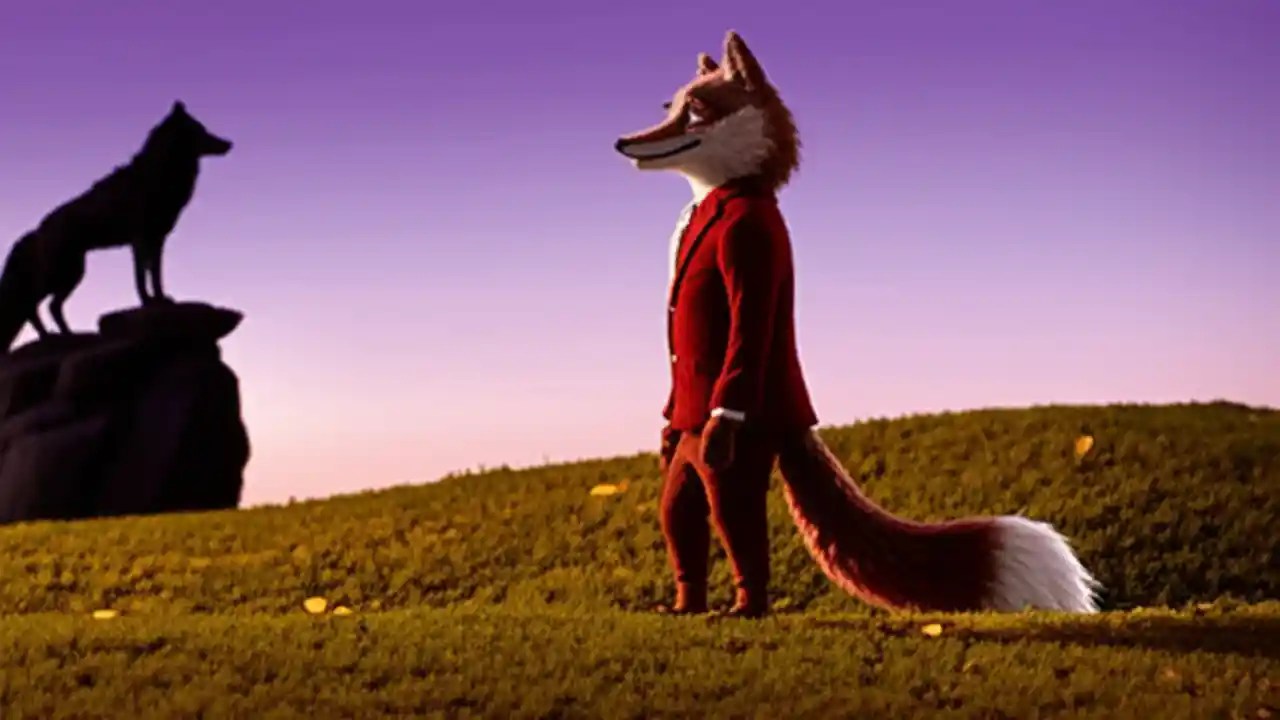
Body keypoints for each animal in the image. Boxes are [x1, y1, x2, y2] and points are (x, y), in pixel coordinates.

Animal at [0, 100, 233, 352]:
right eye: (201, 130)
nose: (229, 144)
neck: (156, 178)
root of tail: (36, 230)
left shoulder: (158, 240)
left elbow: (156, 275)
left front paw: (160, 299)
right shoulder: (139, 240)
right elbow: (140, 277)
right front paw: (147, 301)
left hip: (73, 273)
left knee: (53, 306)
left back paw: (69, 335)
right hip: (60, 274)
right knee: (31, 306)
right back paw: (49, 337)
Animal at [616, 31, 1099, 617]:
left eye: (696, 112)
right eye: (669, 107)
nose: (623, 142)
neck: (724, 196)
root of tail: (796, 420)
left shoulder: (747, 263)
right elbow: (676, 497)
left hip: (737, 445)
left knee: (736, 515)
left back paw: (748, 609)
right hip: (695, 460)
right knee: (683, 507)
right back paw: (688, 606)